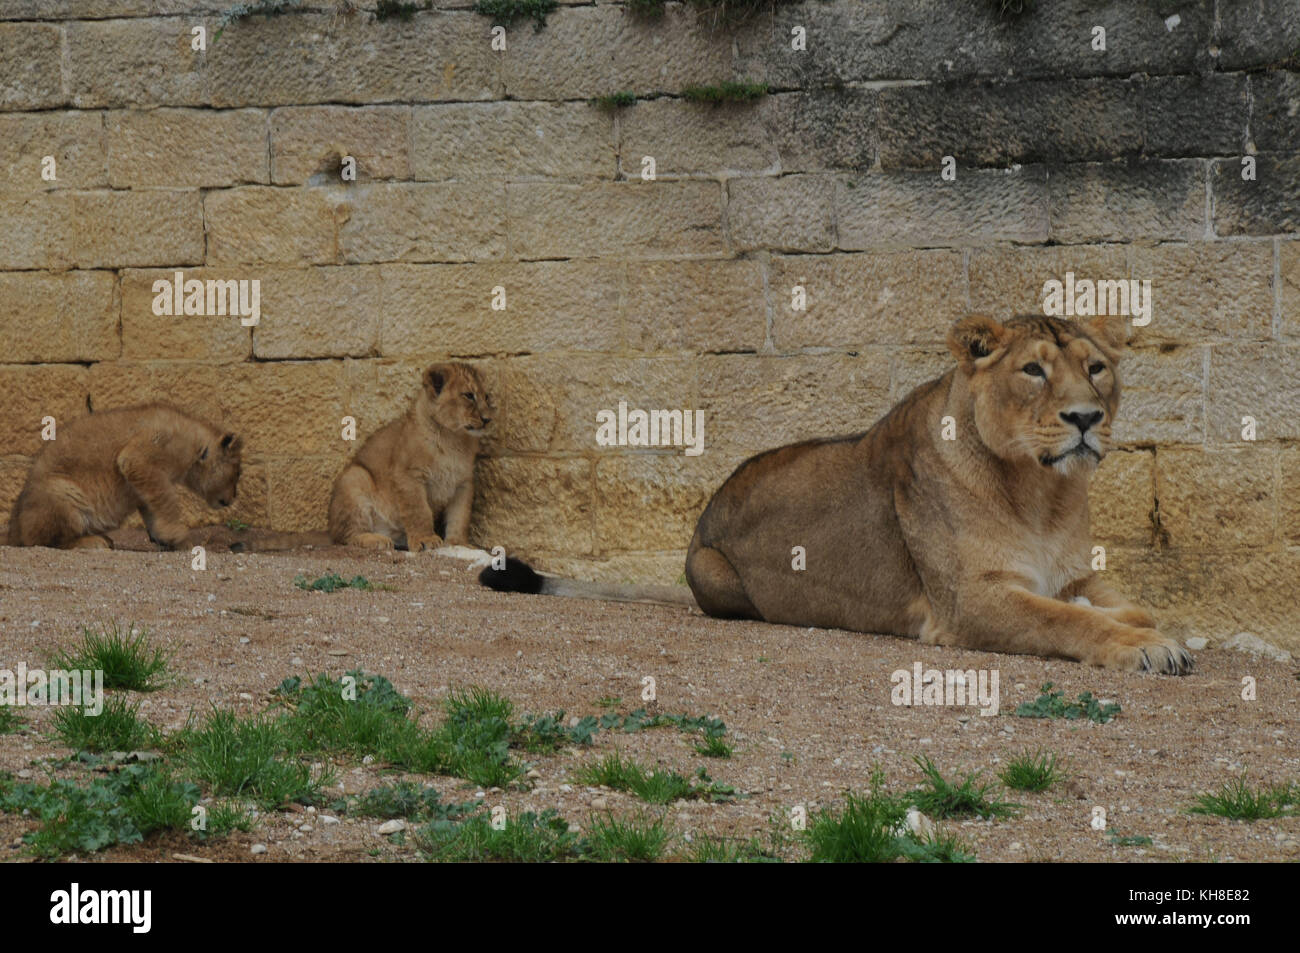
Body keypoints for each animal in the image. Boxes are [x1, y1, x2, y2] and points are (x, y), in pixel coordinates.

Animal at [6, 403, 243, 550]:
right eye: (237, 473)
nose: (232, 498)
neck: (196, 446)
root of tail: (12, 529)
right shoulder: (139, 459)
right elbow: (168, 502)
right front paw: (179, 536)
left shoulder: (144, 481)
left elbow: (154, 509)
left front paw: (167, 538)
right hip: (62, 492)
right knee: (41, 540)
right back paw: (94, 542)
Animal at [328, 363, 493, 550]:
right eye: (469, 395)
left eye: (486, 397)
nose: (488, 419)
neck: (454, 439)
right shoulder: (408, 475)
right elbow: (419, 511)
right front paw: (425, 539)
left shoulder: (463, 483)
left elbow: (460, 516)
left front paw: (459, 544)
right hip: (354, 477)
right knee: (345, 536)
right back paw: (375, 539)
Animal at [480, 314, 1193, 675]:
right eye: (1033, 371)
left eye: (1095, 368)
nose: (1086, 418)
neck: (1043, 493)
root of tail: (704, 516)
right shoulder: (967, 602)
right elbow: (1065, 619)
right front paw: (1145, 645)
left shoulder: (1075, 572)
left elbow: (1121, 602)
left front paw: (1150, 625)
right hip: (715, 574)